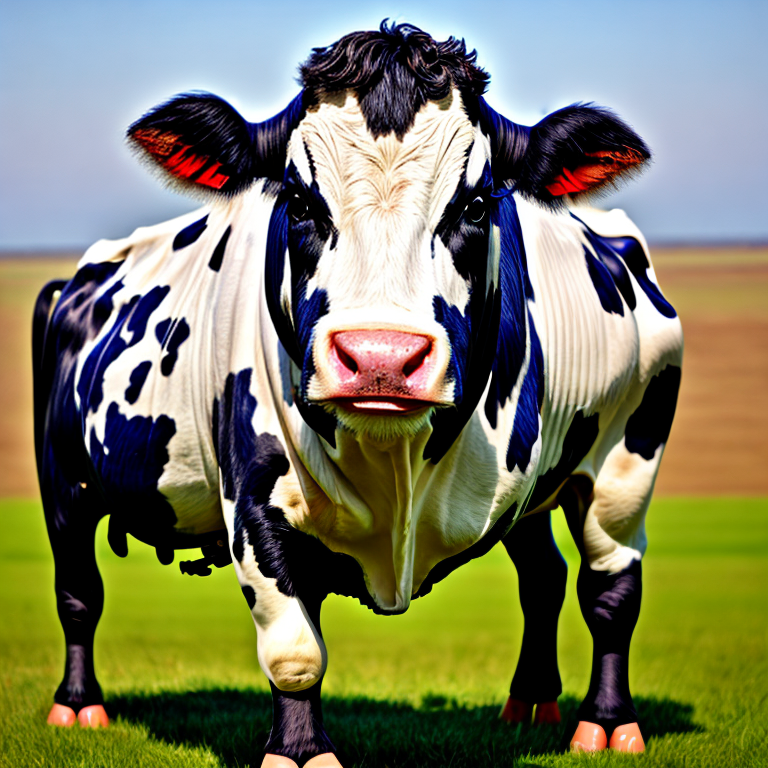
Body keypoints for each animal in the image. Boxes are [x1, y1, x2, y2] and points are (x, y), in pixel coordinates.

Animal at [34, 21, 682, 766]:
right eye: (298, 200)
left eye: (476, 203)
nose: (380, 358)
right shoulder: (255, 495)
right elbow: (294, 647)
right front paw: (300, 748)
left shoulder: (626, 464)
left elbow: (611, 596)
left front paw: (608, 722)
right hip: (64, 480)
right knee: (78, 591)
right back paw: (78, 705)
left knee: (554, 578)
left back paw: (538, 704)